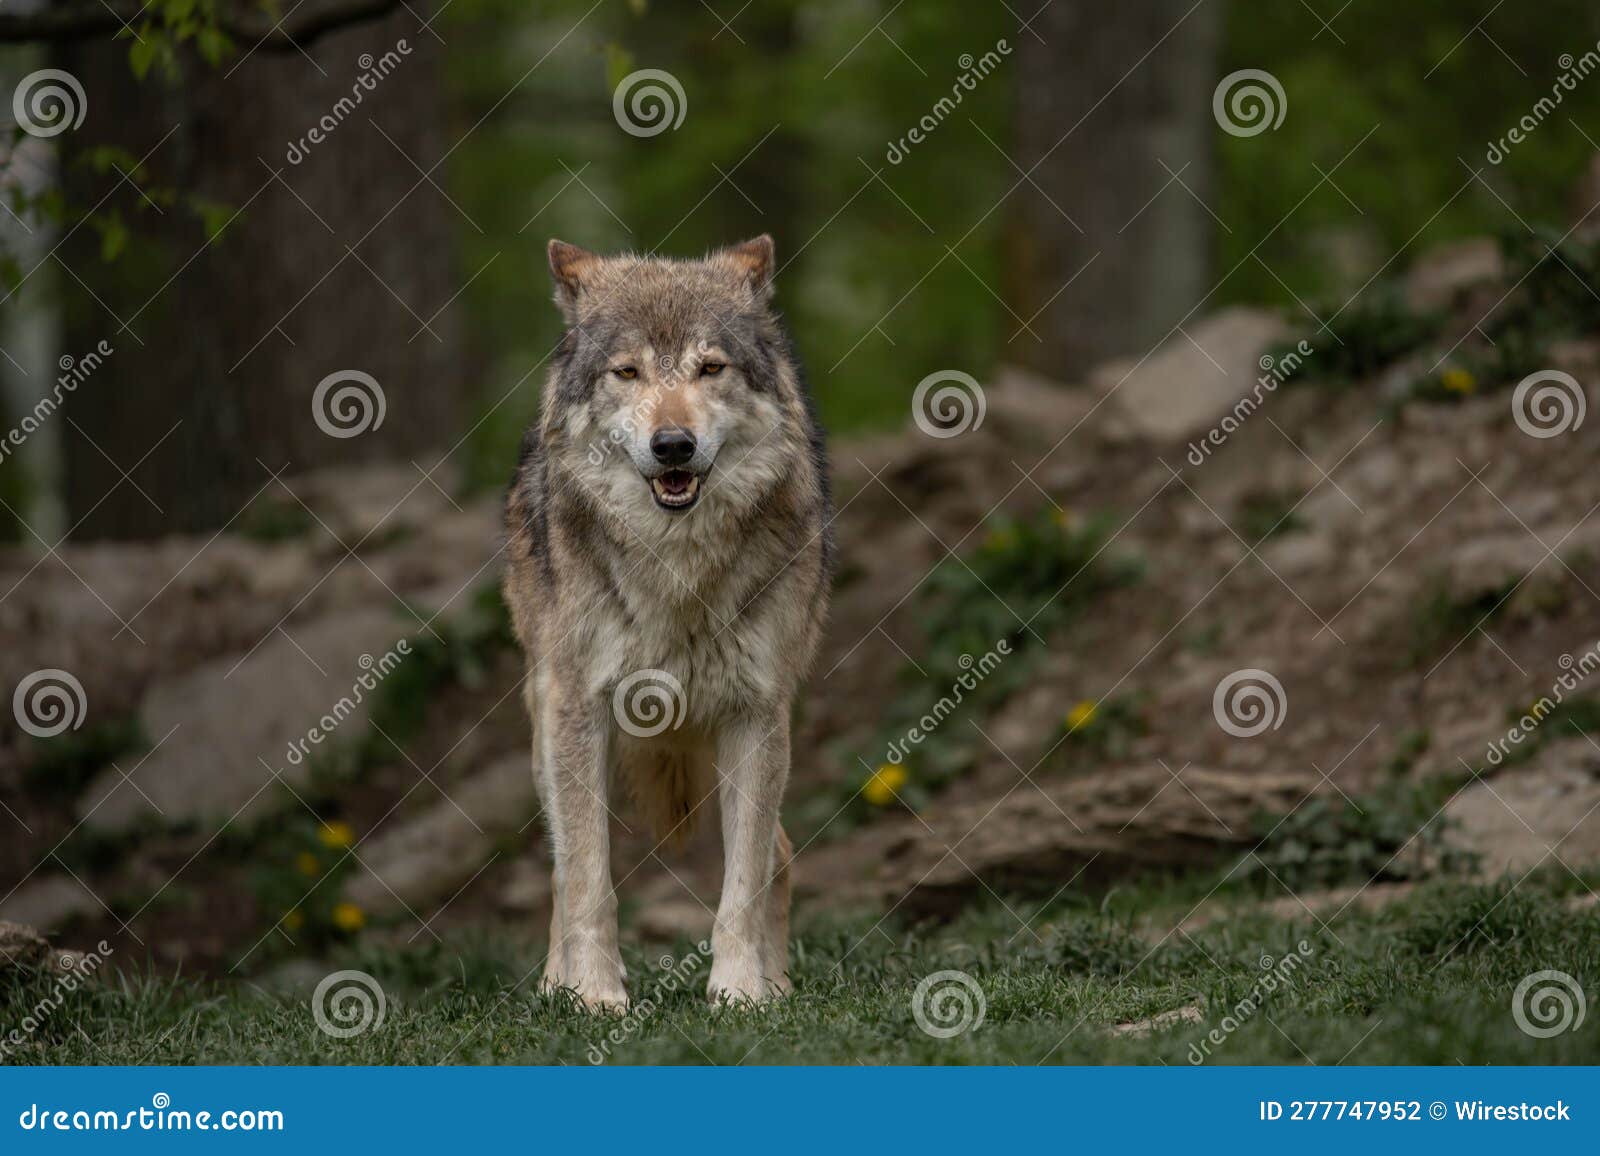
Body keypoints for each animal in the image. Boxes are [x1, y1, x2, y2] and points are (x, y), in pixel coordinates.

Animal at [502, 235, 832, 1008]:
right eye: (627, 372)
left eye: (710, 367)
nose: (674, 444)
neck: (676, 568)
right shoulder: (579, 710)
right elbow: (589, 879)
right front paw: (595, 997)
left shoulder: (756, 714)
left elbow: (742, 884)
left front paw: (742, 995)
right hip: (545, 734)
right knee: (560, 866)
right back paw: (554, 987)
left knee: (779, 852)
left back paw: (780, 986)